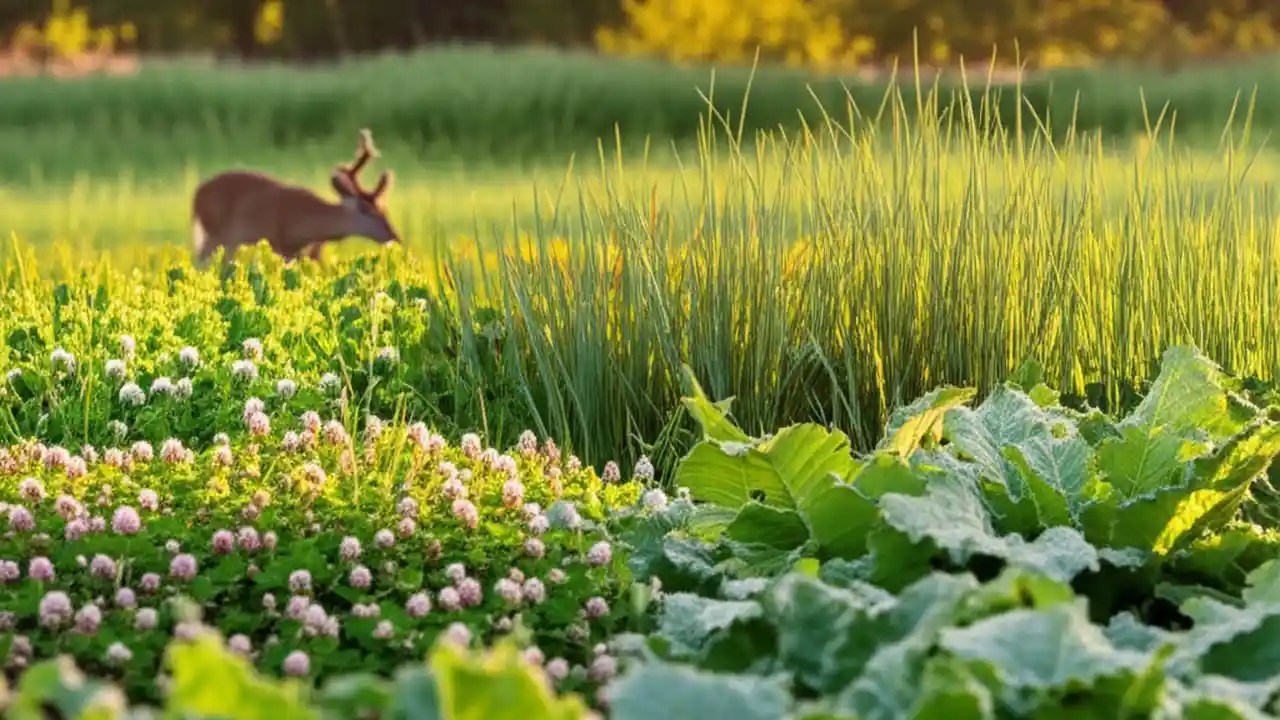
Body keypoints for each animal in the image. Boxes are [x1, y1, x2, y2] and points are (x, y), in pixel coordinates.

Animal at [190, 128, 400, 265]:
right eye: (366, 209)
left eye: (383, 208)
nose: (394, 237)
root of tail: (196, 195)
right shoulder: (279, 242)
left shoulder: (296, 250)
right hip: (216, 232)